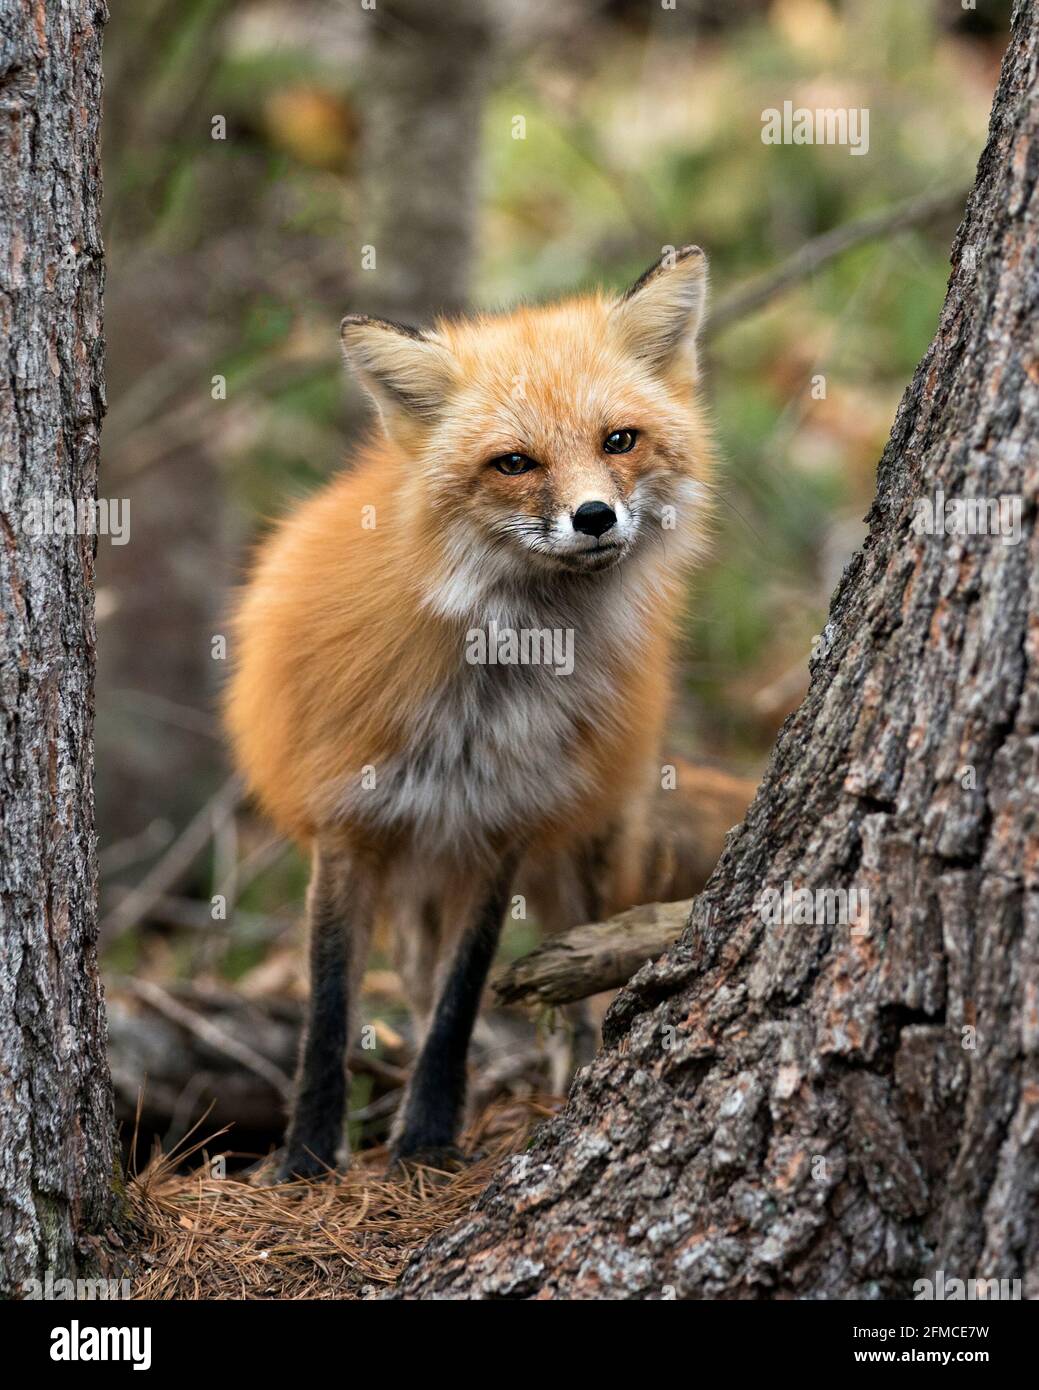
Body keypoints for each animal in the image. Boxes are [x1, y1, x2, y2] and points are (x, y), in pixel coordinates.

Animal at [225, 244, 717, 1178]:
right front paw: (307, 1157)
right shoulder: (347, 825)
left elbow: (462, 1001)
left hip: (582, 853)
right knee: (416, 983)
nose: (593, 516)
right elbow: (331, 1008)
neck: (487, 693)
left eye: (618, 441)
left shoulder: (501, 829)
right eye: (514, 462)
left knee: (584, 976)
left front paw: (426, 1138)